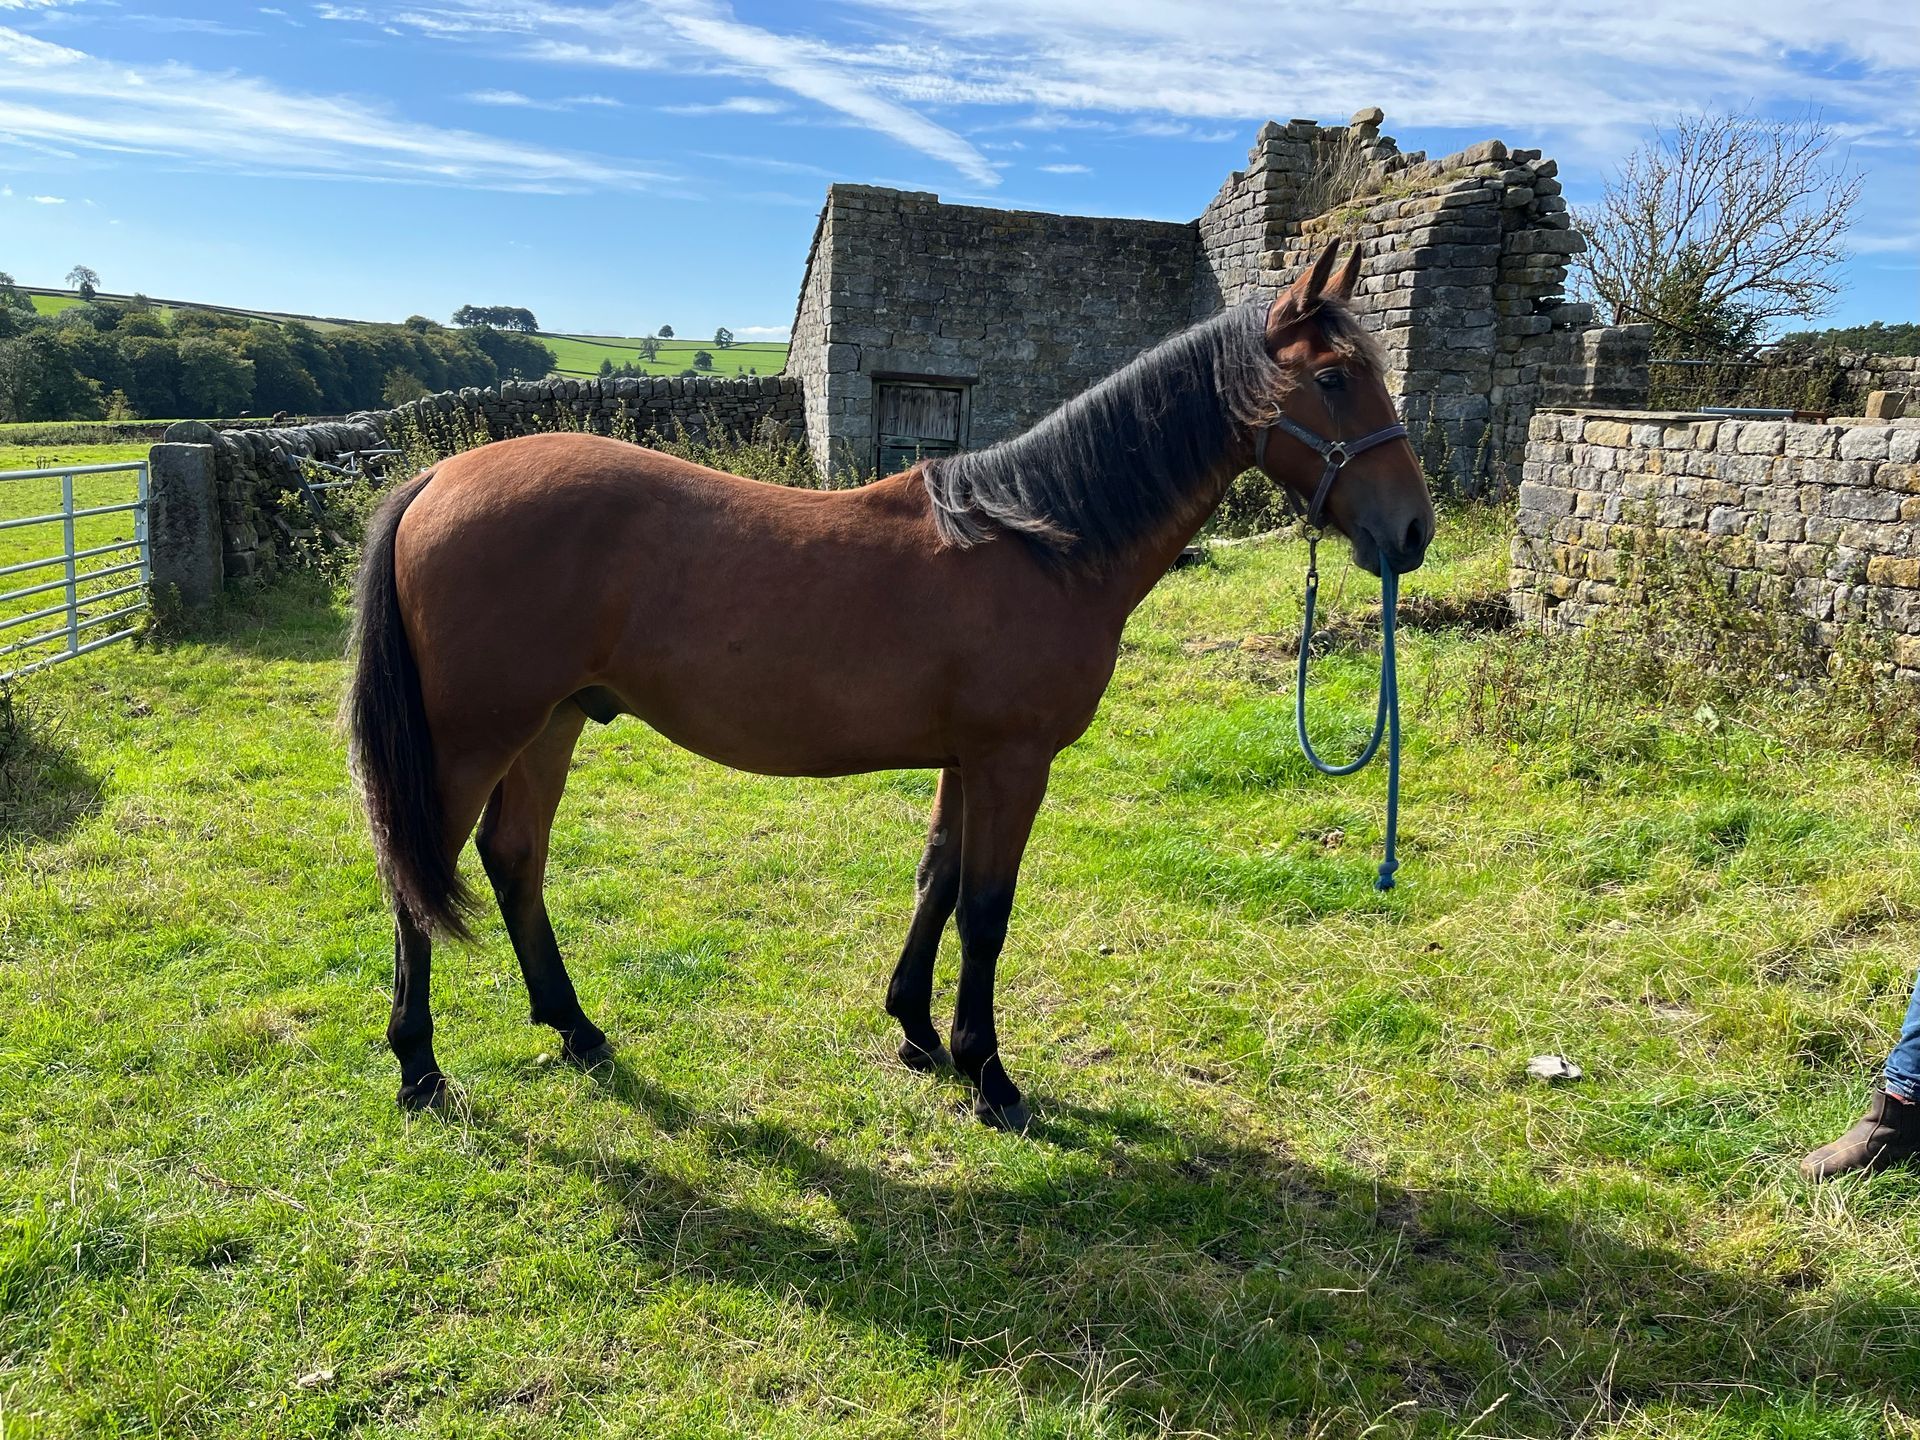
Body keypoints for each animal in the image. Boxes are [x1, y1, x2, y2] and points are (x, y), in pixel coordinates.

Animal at [344, 240, 1435, 1131]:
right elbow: (987, 909)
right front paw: (989, 1075)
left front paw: (916, 1029)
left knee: (515, 859)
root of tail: (435, 481)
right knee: (416, 873)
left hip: (551, 725)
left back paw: (576, 1030)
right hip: (474, 741)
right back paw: (420, 1069)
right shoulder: (1013, 761)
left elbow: (937, 880)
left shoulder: (967, 759)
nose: (1413, 531)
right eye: (1335, 378)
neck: (1038, 541)